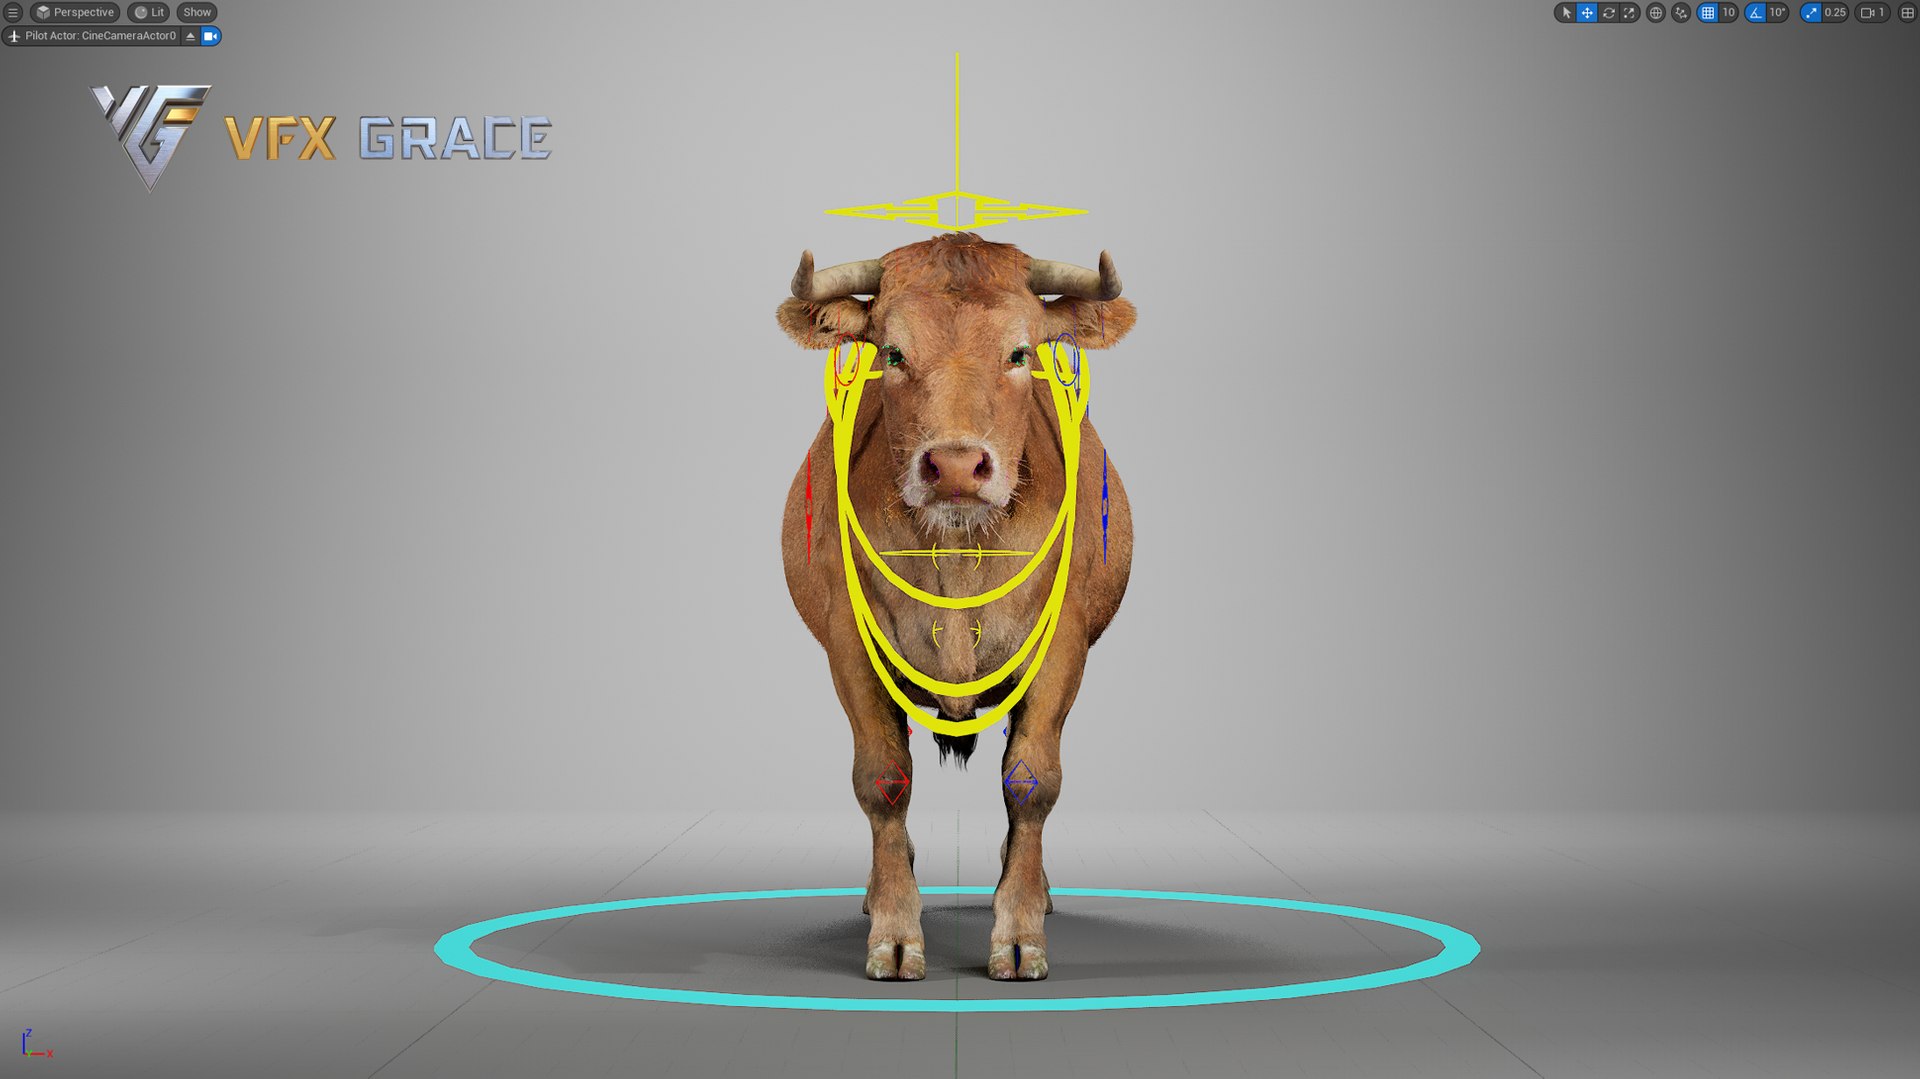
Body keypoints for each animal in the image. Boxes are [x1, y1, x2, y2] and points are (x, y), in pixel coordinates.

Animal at [776, 232, 1136, 980]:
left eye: (1020, 352)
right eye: (892, 353)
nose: (957, 467)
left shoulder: (1063, 645)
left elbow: (1031, 781)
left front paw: (1020, 934)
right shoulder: (849, 643)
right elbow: (882, 778)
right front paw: (895, 932)